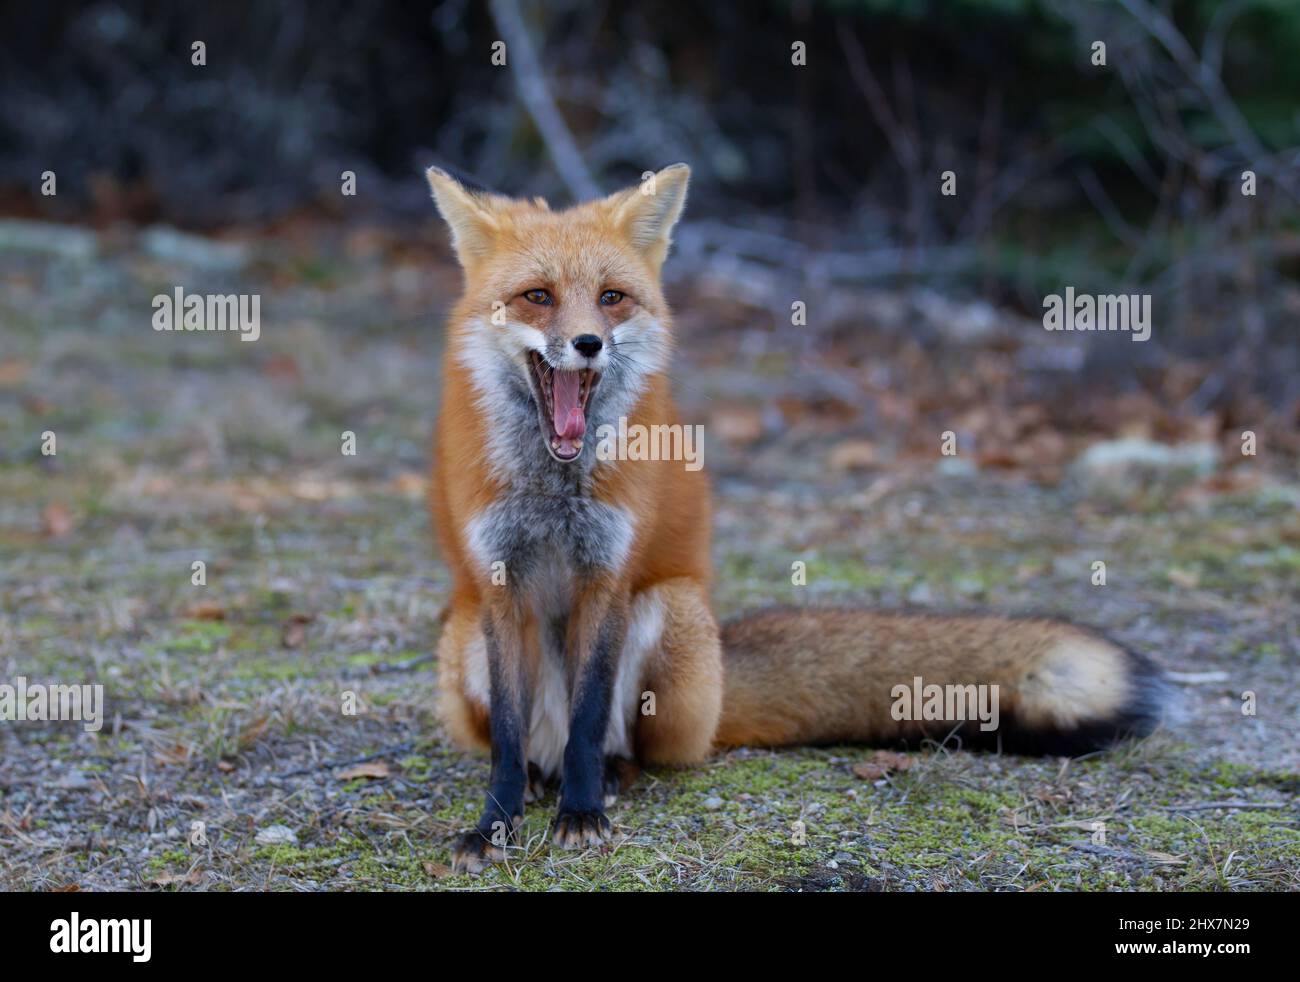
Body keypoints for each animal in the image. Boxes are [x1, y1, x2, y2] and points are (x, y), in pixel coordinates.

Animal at [423, 163, 1169, 873]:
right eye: (538, 296)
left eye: (611, 298)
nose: (586, 343)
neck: (555, 489)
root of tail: (722, 685)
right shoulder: (500, 585)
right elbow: (509, 741)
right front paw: (495, 826)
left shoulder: (608, 577)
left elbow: (586, 720)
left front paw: (580, 815)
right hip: (463, 632)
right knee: (533, 748)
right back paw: (540, 782)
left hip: (672, 607)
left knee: (630, 749)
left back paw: (604, 778)